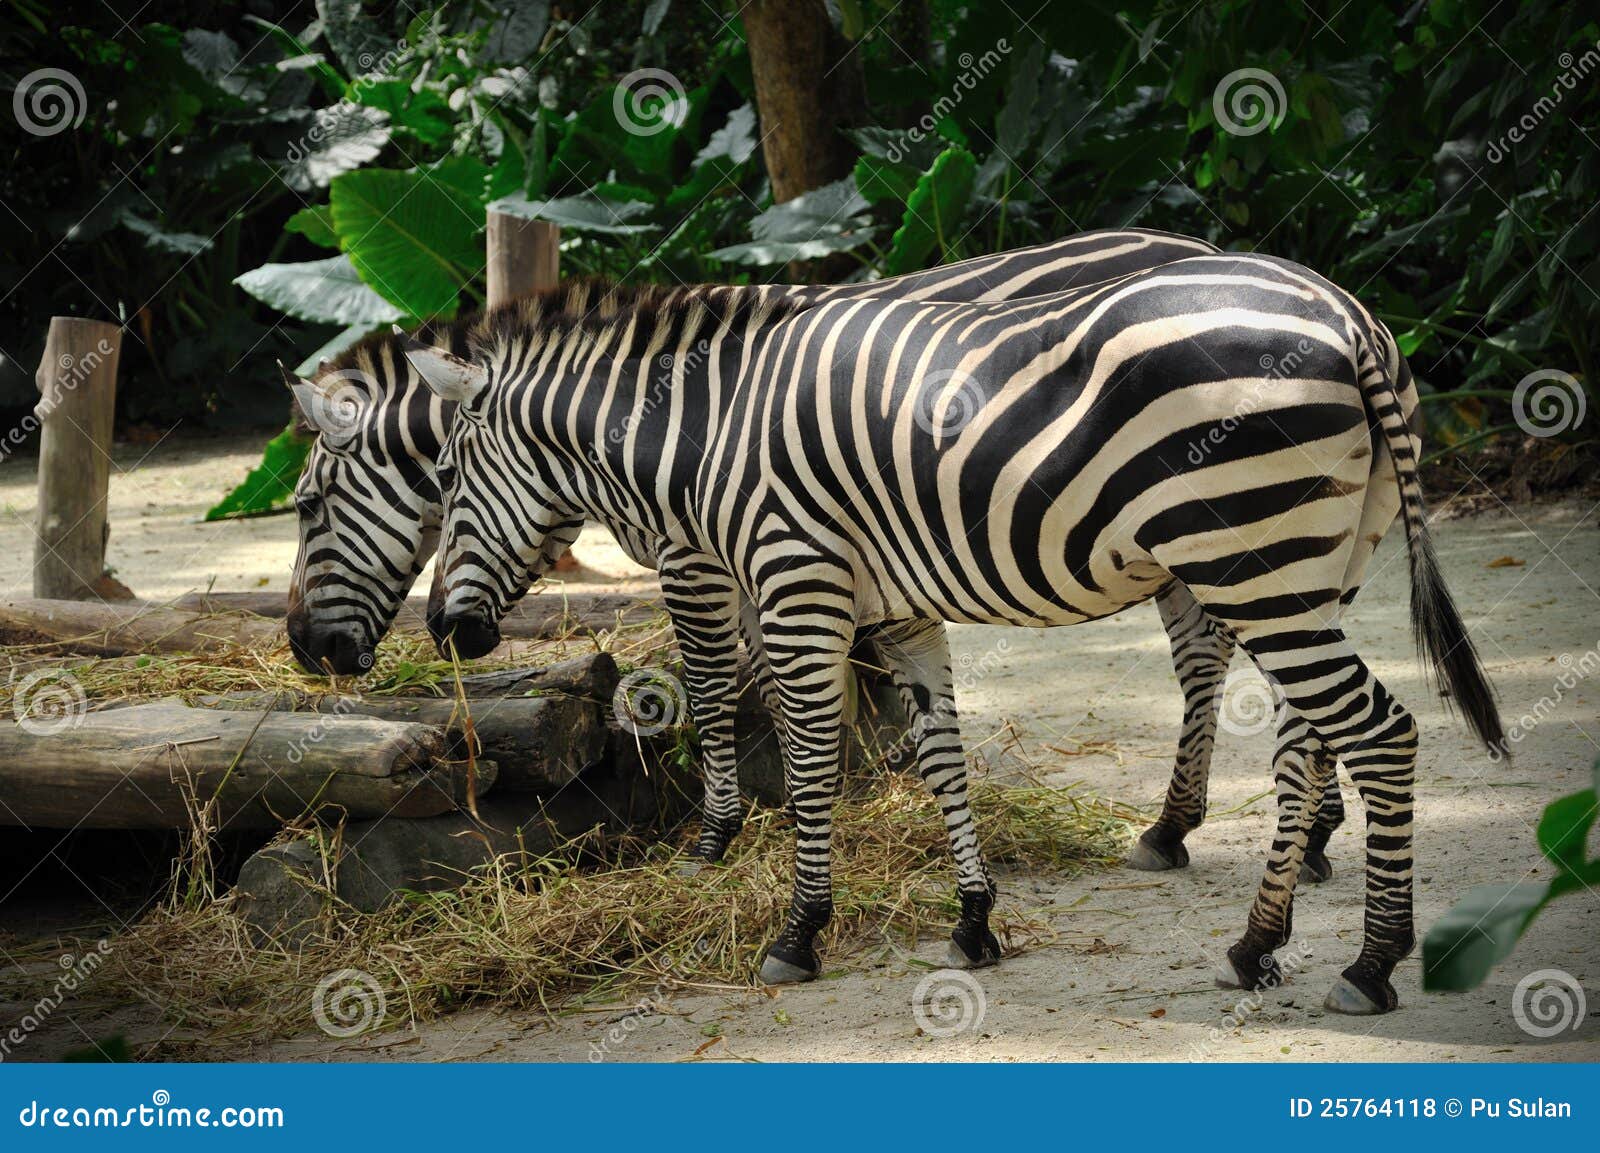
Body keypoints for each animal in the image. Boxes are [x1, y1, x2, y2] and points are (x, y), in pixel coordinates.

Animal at [284, 229, 1349, 878]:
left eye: (306, 507)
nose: (308, 653)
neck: (657, 414)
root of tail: (1200, 247)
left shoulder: (695, 555)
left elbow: (714, 686)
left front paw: (720, 835)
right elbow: (811, 677)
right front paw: (850, 792)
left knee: (1240, 651)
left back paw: (1252, 828)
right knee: (1240, 650)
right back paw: (1276, 828)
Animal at [414, 253, 1504, 1016]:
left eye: (451, 479)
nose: (442, 631)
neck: (709, 435)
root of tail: (1348, 315)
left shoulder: (797, 583)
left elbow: (808, 764)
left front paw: (798, 933)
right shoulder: (900, 611)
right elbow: (943, 756)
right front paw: (974, 920)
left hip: (1249, 553)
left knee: (1379, 732)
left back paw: (1369, 962)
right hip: (1311, 565)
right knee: (1305, 740)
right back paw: (1255, 942)